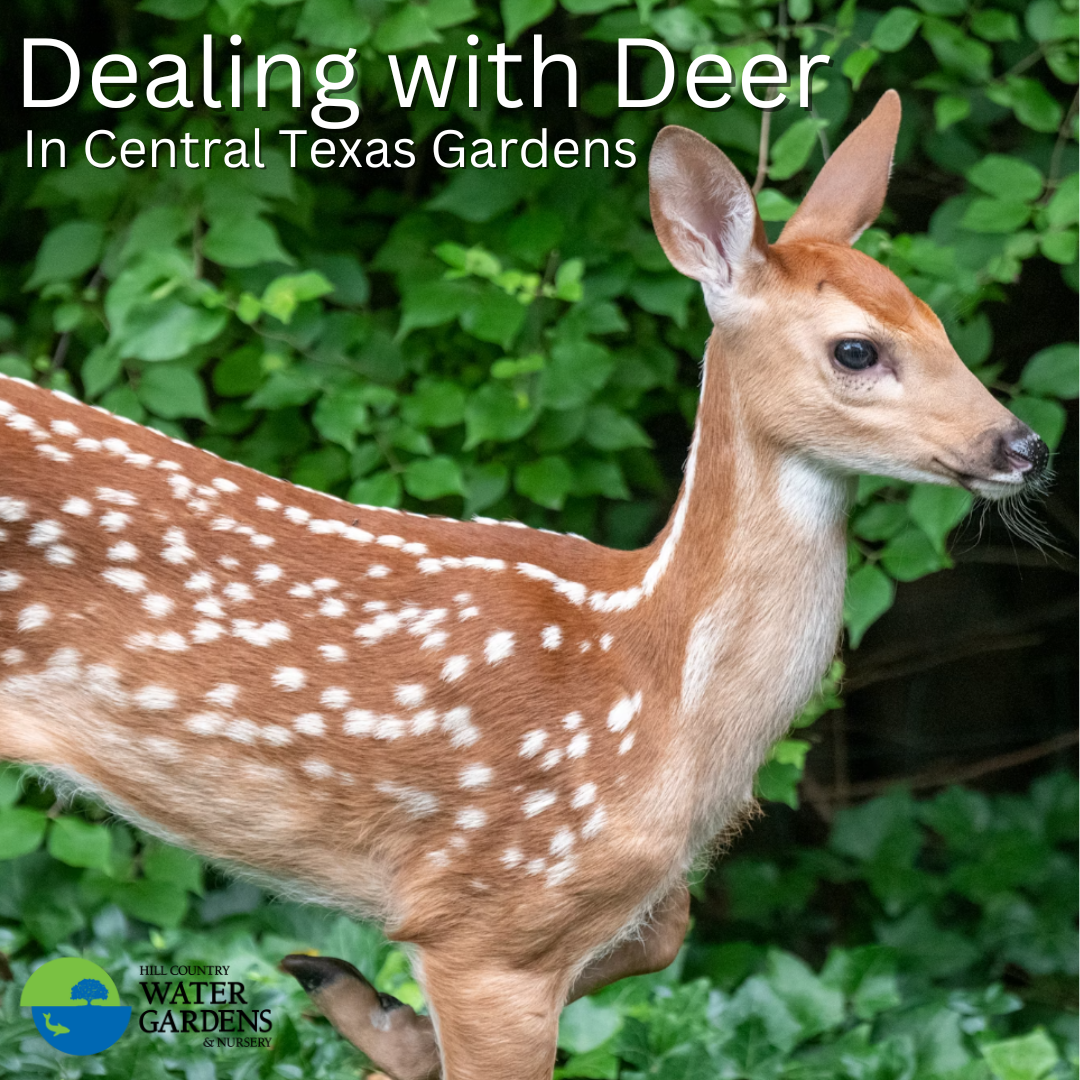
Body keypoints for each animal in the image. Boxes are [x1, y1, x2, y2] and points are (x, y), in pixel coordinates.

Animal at [0, 89, 1048, 1079]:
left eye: (941, 324)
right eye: (856, 349)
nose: (1024, 446)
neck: (662, 690)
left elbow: (665, 929)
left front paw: (369, 1015)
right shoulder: (492, 915)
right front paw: (373, 1014)